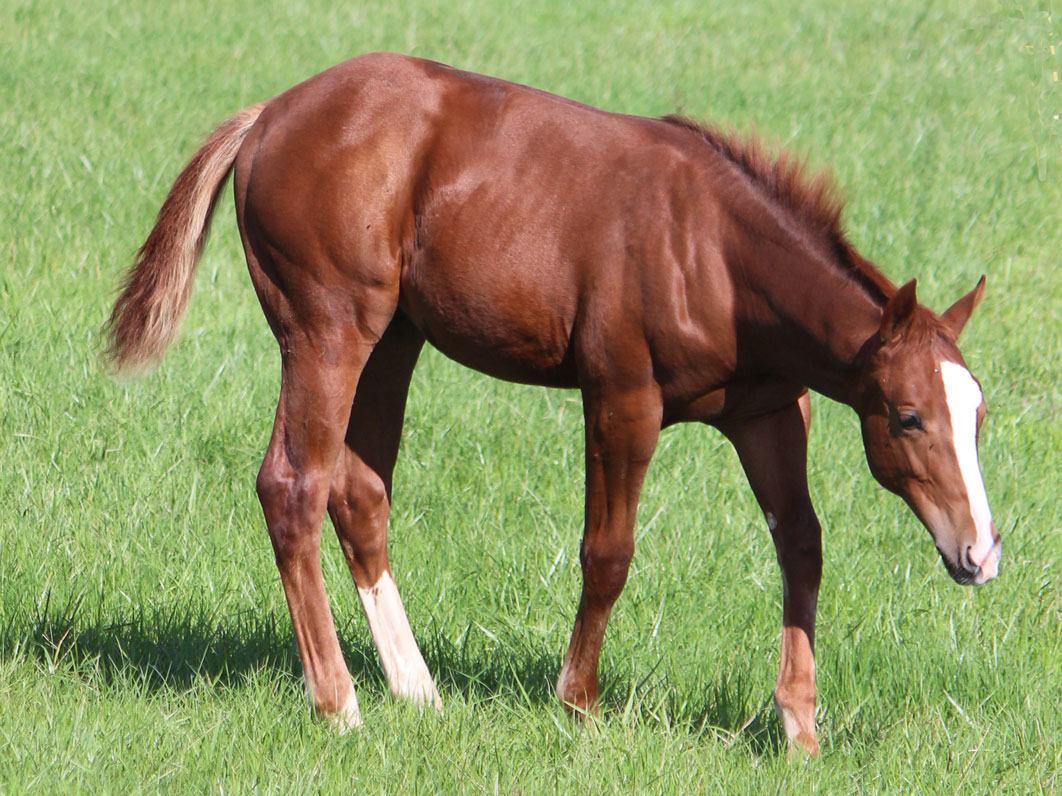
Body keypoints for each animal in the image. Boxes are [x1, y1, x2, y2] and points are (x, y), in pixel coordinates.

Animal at [105, 53, 1000, 754]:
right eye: (909, 416)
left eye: (979, 416)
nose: (981, 553)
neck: (712, 250)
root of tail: (268, 116)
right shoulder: (621, 398)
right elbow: (608, 553)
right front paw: (578, 704)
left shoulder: (769, 414)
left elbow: (803, 547)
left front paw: (800, 727)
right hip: (326, 332)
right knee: (293, 485)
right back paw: (341, 705)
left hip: (394, 339)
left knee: (357, 490)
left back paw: (419, 693)